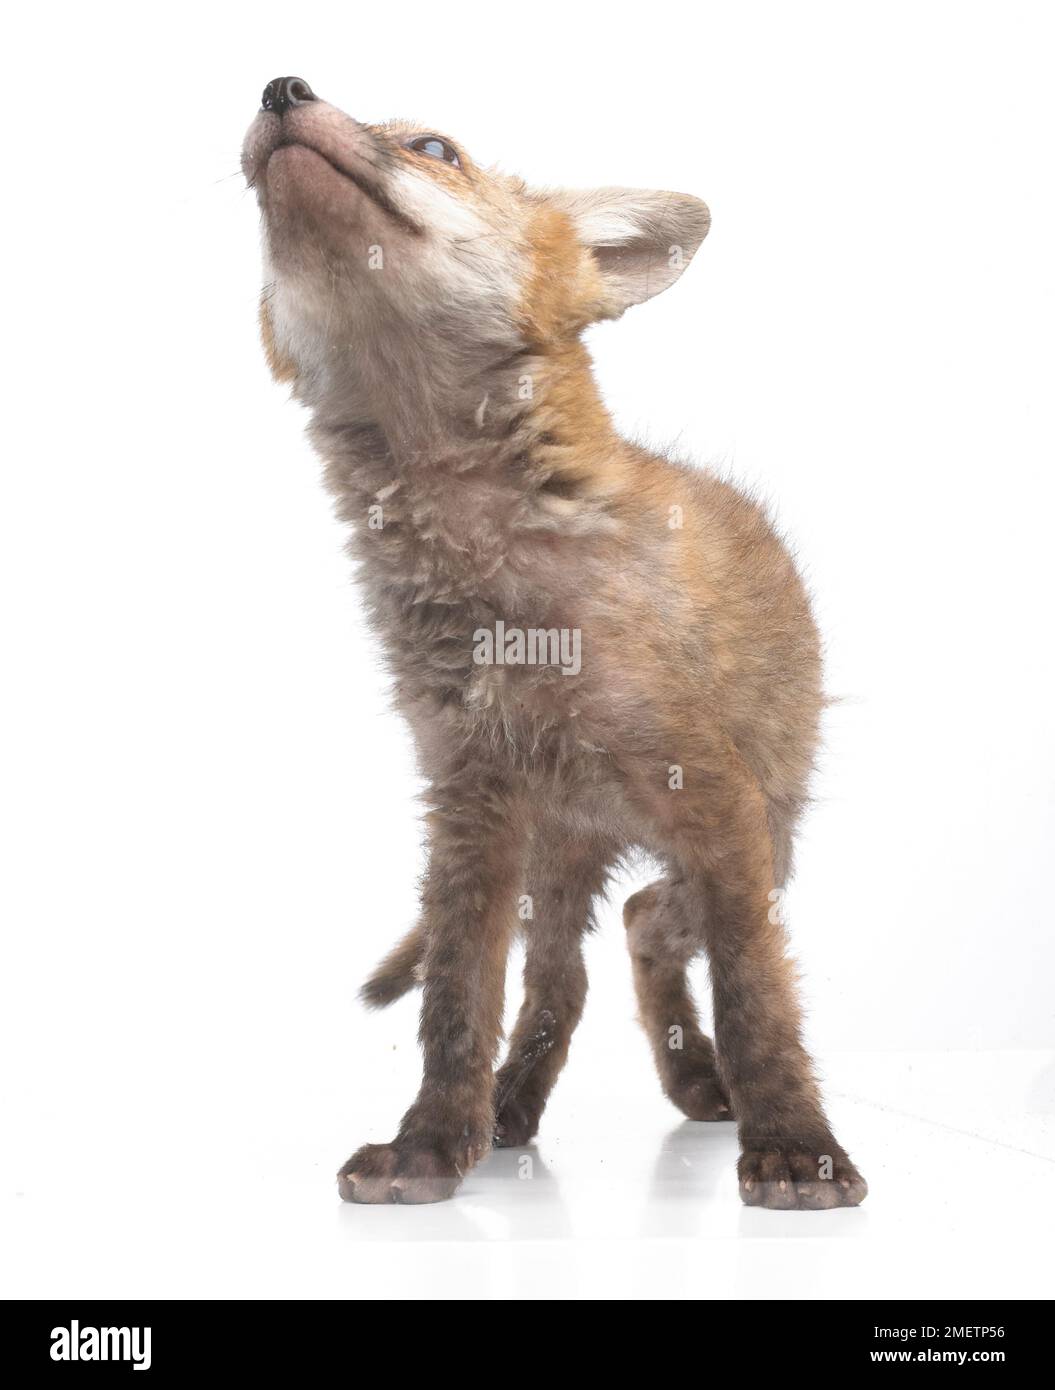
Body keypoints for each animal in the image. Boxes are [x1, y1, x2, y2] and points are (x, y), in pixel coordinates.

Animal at [242, 76, 867, 1209]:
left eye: (433, 148)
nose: (280, 89)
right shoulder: (469, 803)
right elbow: (454, 1001)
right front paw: (430, 1145)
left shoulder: (714, 795)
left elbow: (756, 989)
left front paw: (795, 1143)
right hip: (564, 854)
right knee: (570, 970)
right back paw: (520, 1106)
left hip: (766, 826)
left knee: (652, 920)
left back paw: (694, 1081)